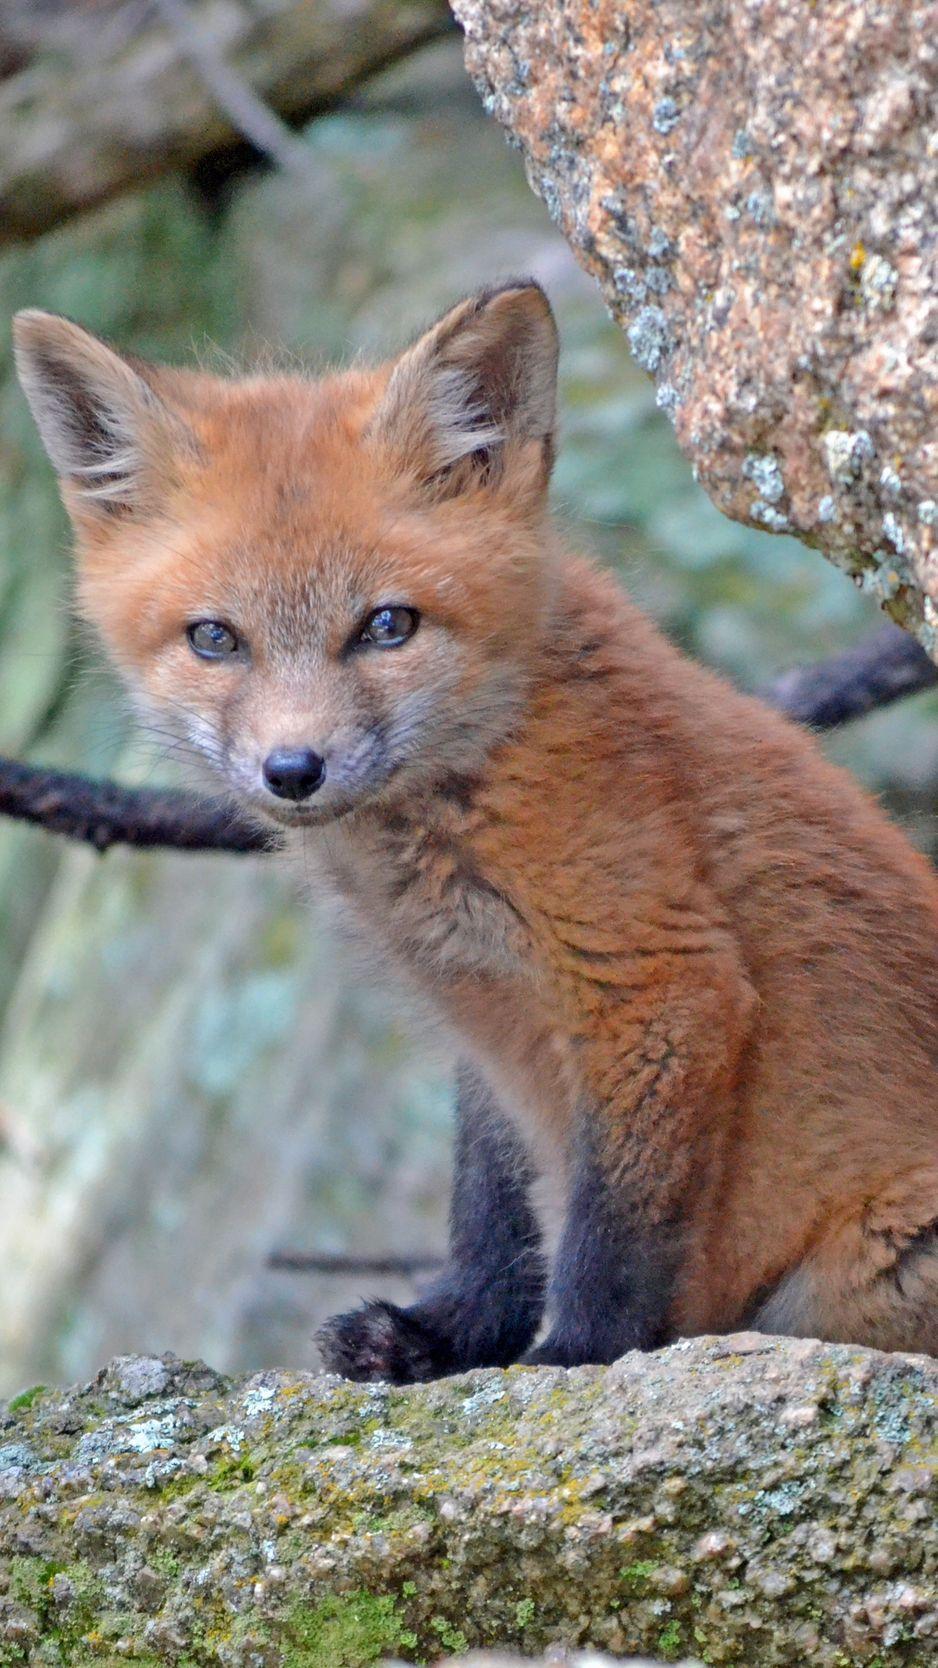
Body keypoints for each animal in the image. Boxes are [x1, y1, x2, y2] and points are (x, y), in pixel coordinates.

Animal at [12, 281, 938, 1379]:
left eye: (386, 626)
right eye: (214, 639)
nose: (293, 771)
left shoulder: (656, 980)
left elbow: (610, 1235)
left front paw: (572, 1363)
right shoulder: (488, 1024)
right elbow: (494, 1210)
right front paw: (446, 1335)